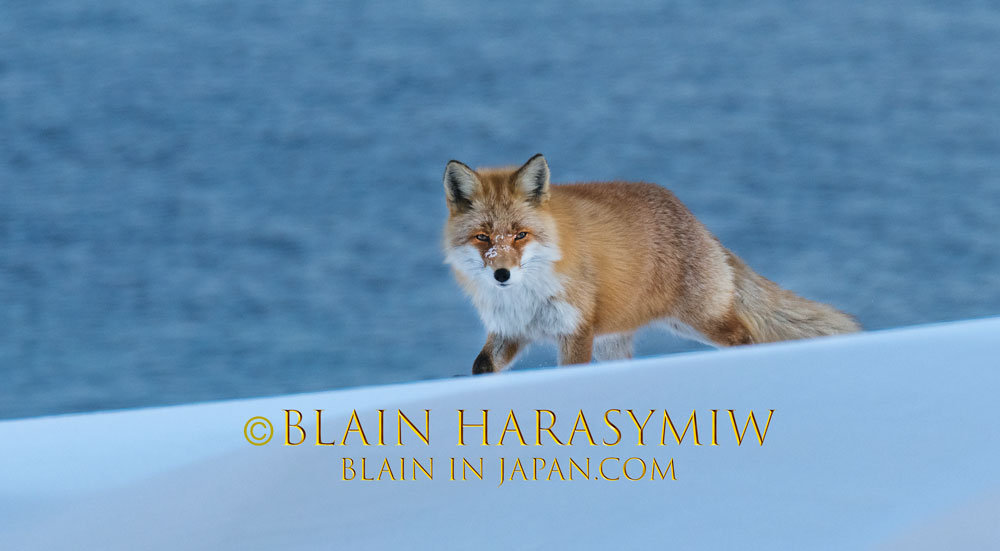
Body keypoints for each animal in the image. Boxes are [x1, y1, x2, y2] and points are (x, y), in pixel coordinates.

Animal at [443, 154, 861, 375]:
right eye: (483, 238)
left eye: (520, 235)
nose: (501, 273)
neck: (523, 296)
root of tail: (693, 217)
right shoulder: (509, 331)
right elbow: (481, 368)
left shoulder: (575, 331)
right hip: (617, 337)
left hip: (700, 319)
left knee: (745, 338)